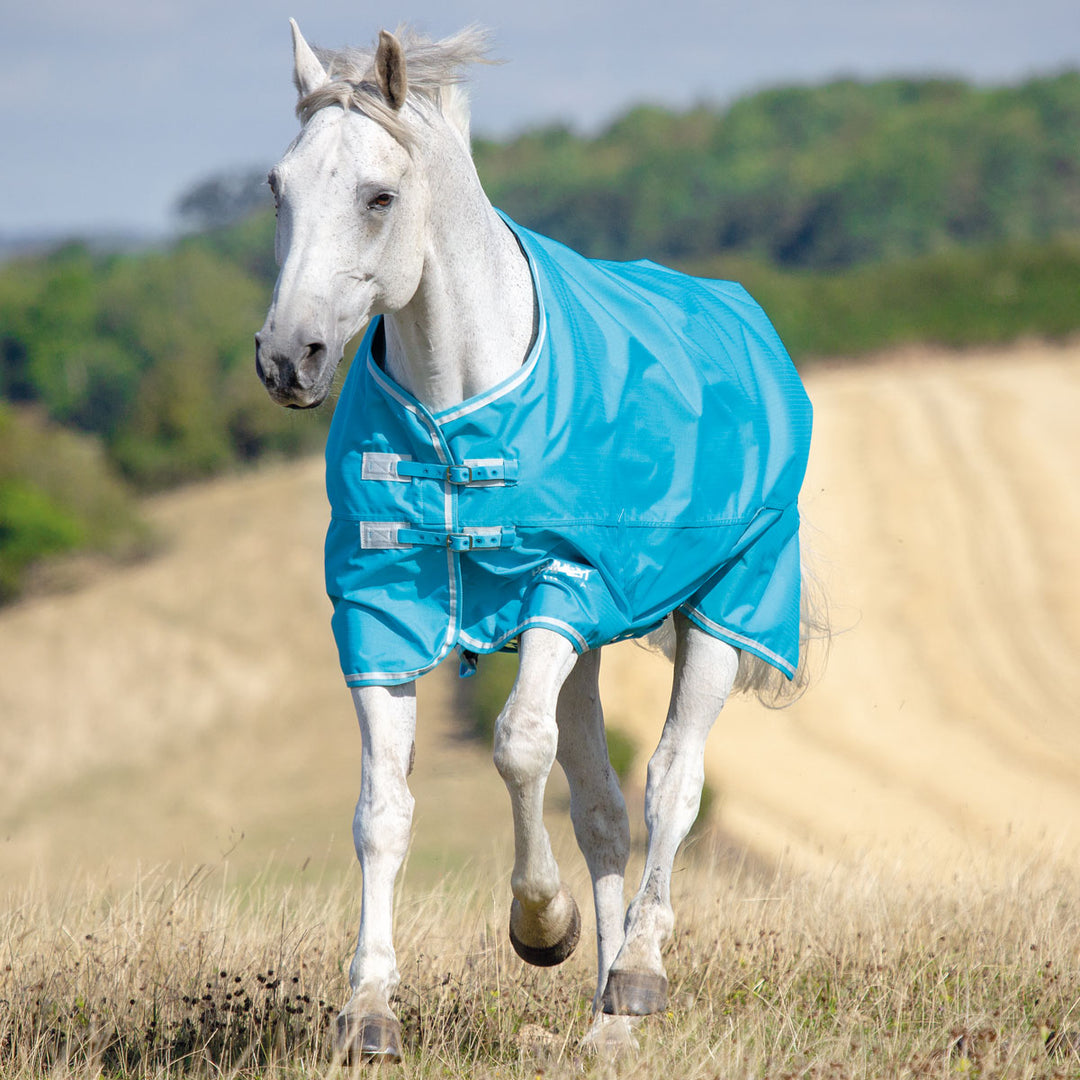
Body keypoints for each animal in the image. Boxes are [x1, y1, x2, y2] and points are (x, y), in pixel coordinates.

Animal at [255, 21, 824, 1061]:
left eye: (378, 195)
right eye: (278, 187)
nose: (288, 358)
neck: (456, 412)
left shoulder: (563, 584)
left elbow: (519, 747)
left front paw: (540, 927)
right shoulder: (378, 615)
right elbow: (382, 811)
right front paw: (369, 1011)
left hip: (730, 603)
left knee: (673, 783)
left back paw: (637, 973)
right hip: (594, 652)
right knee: (603, 808)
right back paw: (605, 1025)